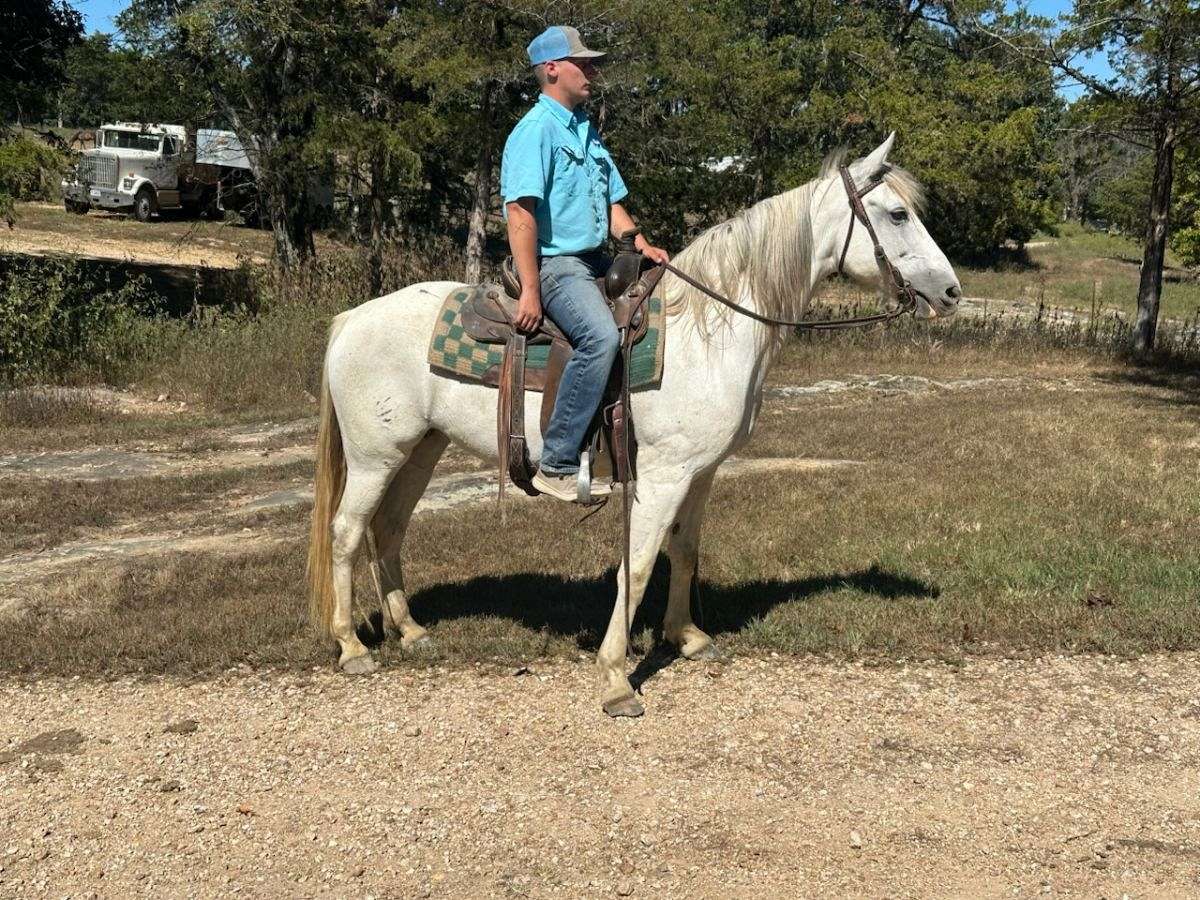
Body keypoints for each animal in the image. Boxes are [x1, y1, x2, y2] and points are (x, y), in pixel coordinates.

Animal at [307, 133, 962, 717]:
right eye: (898, 213)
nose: (952, 292)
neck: (710, 326)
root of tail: (349, 319)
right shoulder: (664, 474)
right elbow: (640, 564)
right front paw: (616, 677)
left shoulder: (701, 472)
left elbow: (685, 549)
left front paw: (686, 638)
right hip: (375, 455)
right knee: (347, 531)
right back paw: (351, 647)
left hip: (421, 447)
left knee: (388, 529)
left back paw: (412, 632)